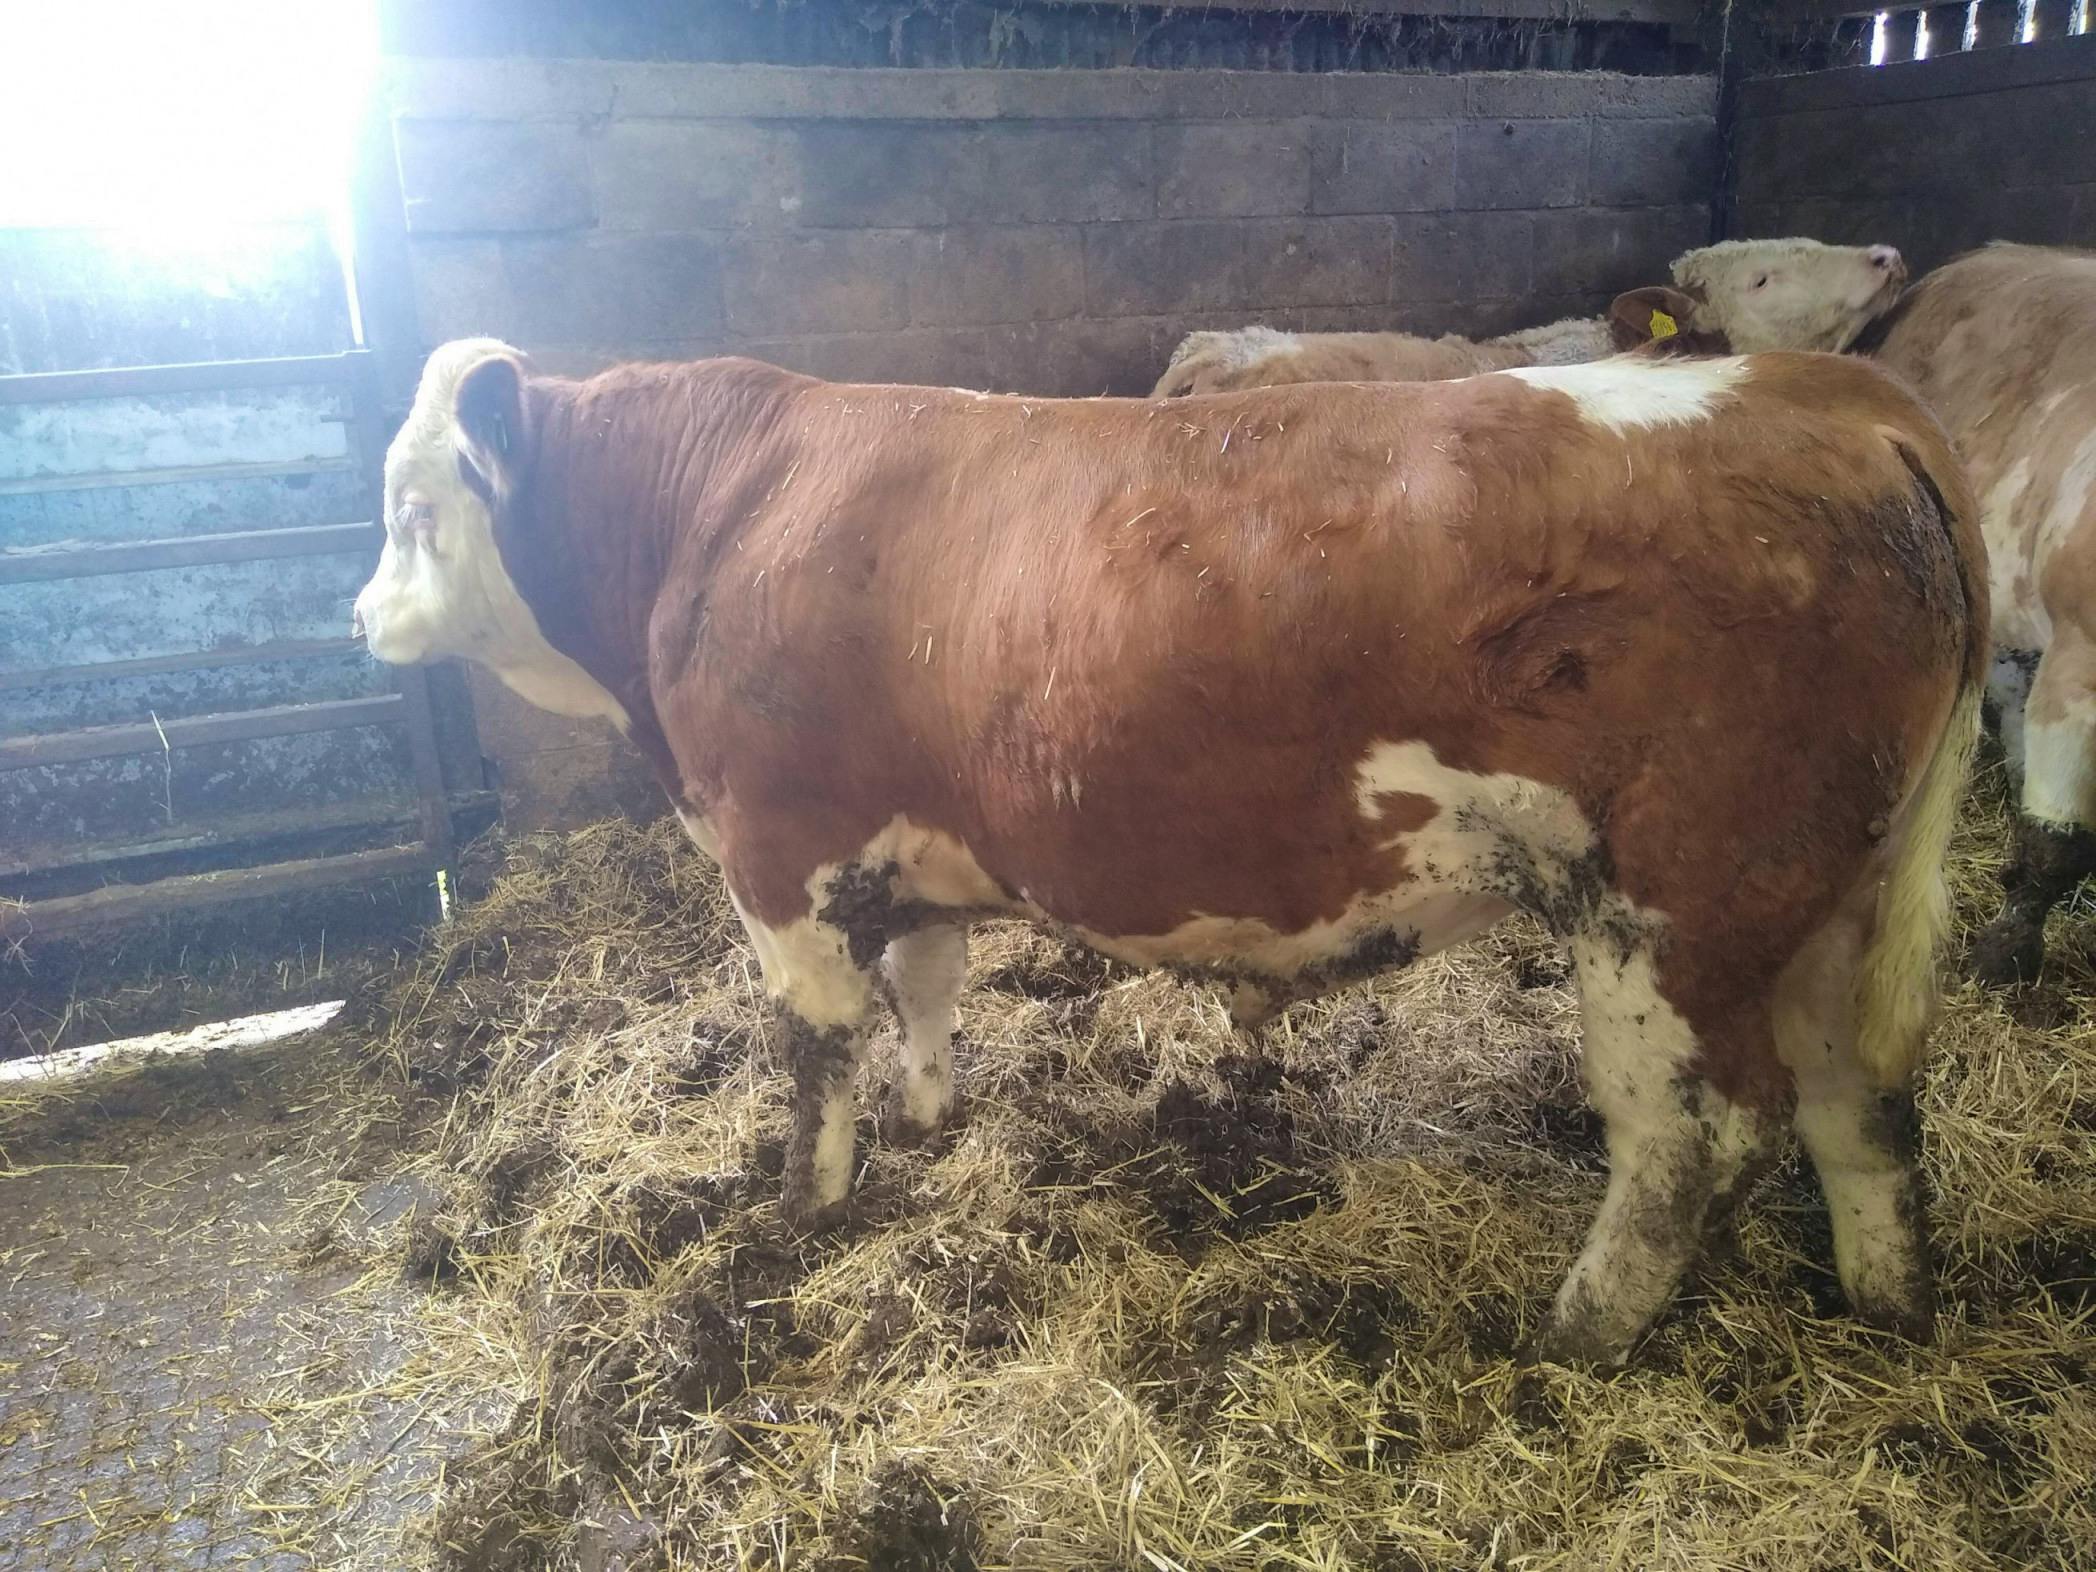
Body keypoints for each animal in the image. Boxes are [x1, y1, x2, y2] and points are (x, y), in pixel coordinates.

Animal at [355, 339, 1983, 1365]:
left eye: (411, 508)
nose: (361, 621)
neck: (723, 507)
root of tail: (1834, 393)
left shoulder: (775, 851)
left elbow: (814, 1049)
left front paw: (801, 1214)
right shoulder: (902, 848)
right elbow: (927, 985)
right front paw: (931, 1121)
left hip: (1671, 913)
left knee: (1692, 1137)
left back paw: (1573, 1337)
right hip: (1830, 903)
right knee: (1860, 1097)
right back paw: (1887, 1307)